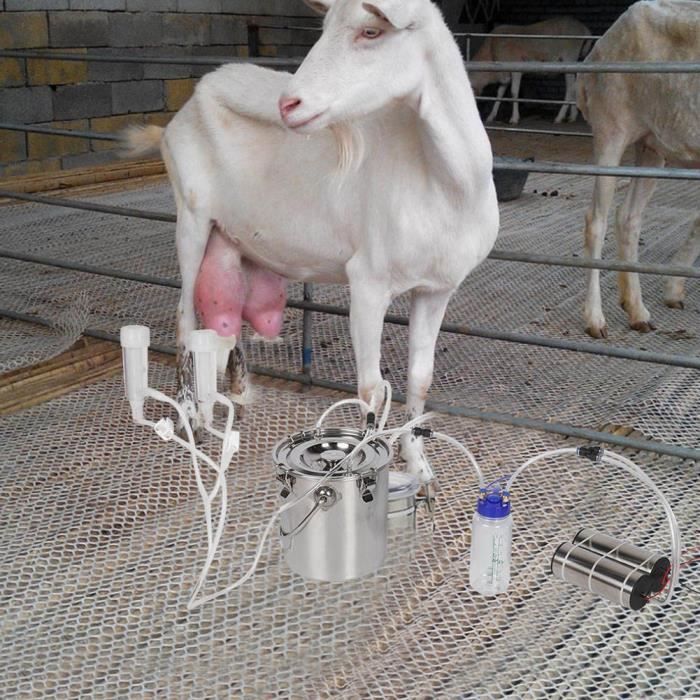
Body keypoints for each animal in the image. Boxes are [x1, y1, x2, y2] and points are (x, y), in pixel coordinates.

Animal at [123, 0, 499, 483]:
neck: (441, 181)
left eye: (371, 31)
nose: (288, 104)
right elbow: (372, 390)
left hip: (234, 236)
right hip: (191, 218)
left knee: (227, 317)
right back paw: (193, 418)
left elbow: (421, 378)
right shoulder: (368, 281)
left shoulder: (437, 289)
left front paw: (420, 469)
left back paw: (237, 395)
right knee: (185, 317)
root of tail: (187, 105)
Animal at [577, 0, 700, 338]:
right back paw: (595, 319)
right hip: (611, 129)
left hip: (650, 145)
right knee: (597, 220)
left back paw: (637, 312)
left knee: (628, 217)